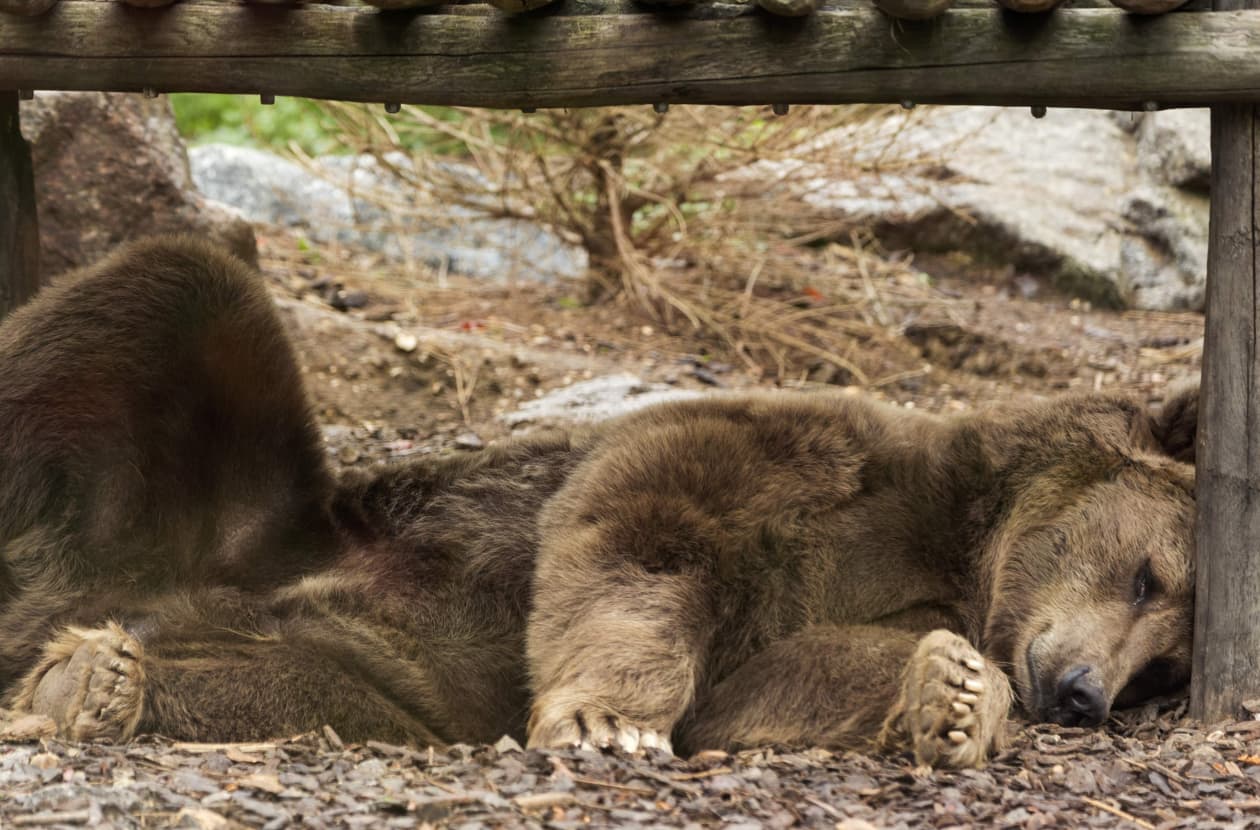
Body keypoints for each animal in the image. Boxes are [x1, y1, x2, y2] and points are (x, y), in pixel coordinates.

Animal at [0, 236, 1198, 768]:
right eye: (1150, 575)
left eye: (1168, 670)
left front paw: (952, 693)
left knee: (281, 688)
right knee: (175, 287)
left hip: (363, 672)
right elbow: (649, 519)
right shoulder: (819, 459)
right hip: (247, 494)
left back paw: (94, 681)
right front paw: (607, 718)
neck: (961, 545)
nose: (1086, 692)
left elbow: (780, 683)